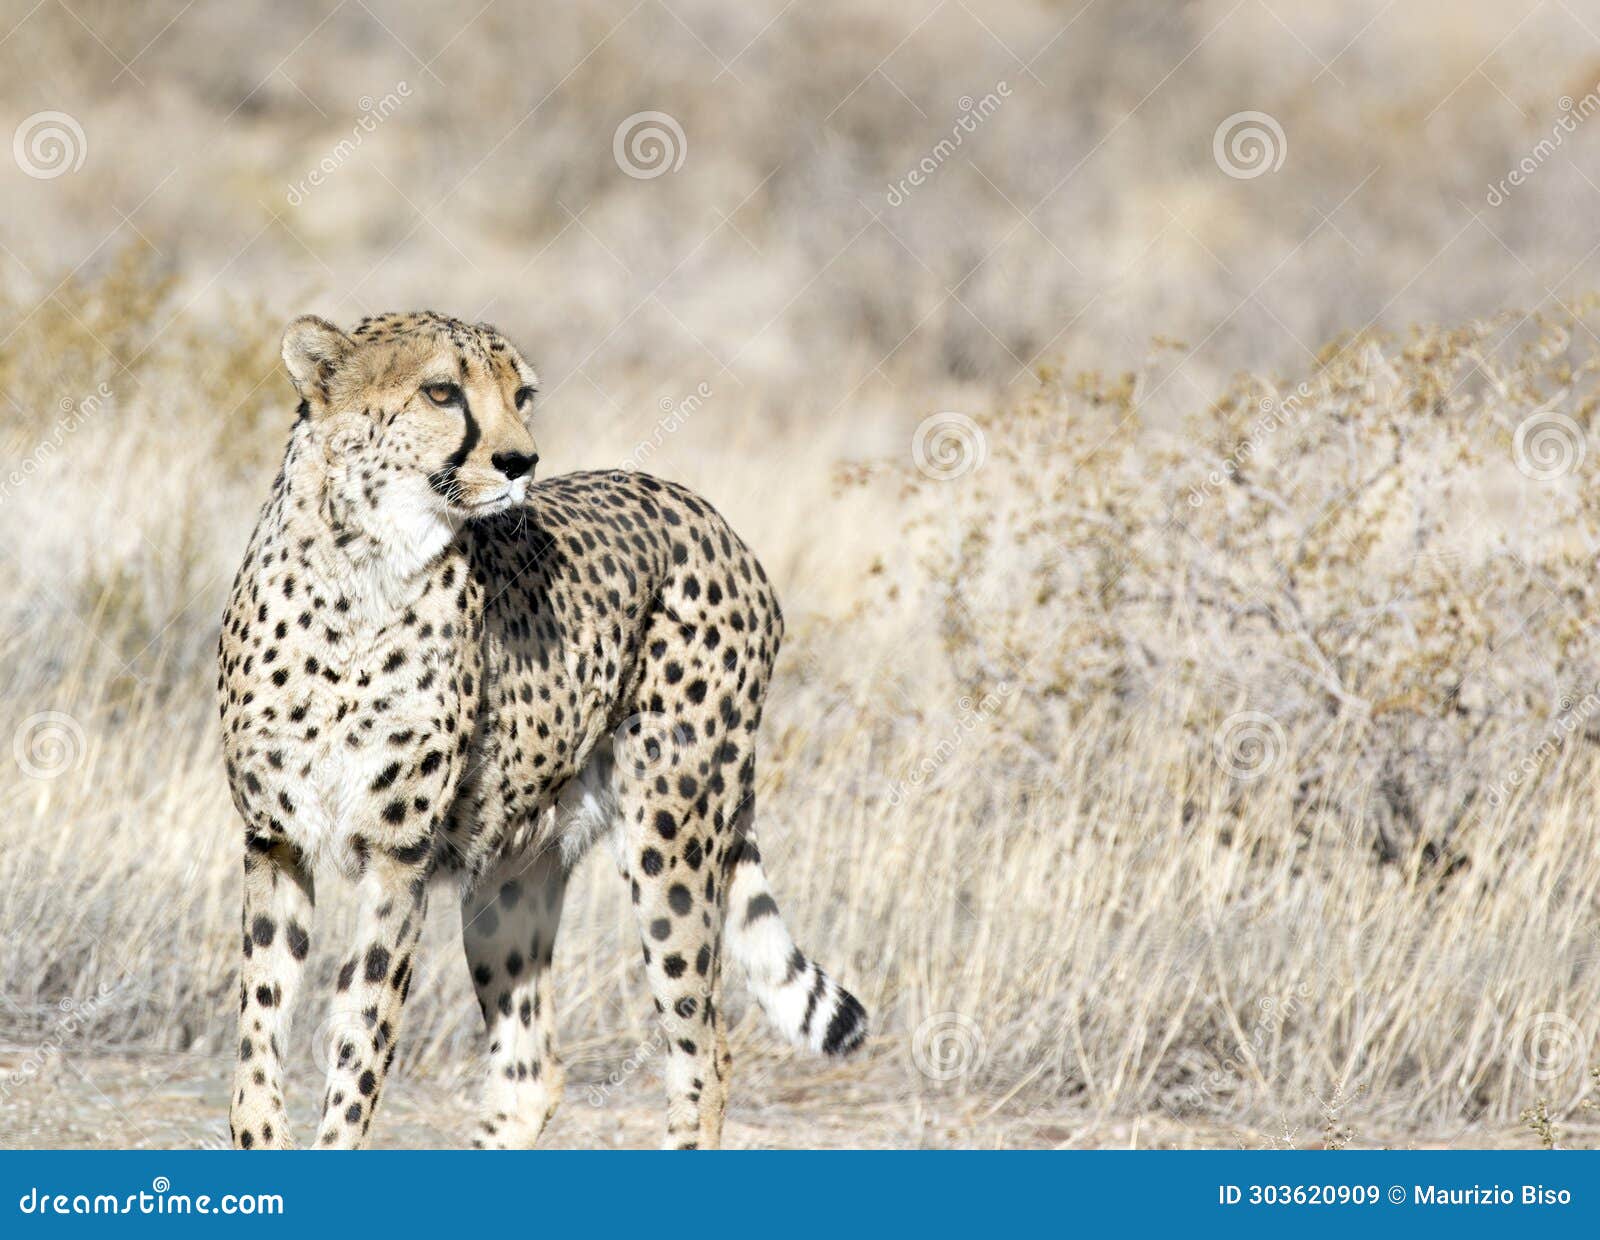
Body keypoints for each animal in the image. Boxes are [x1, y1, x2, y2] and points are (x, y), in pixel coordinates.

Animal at [217, 310, 866, 1150]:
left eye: (521, 394)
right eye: (441, 392)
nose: (521, 460)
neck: (359, 573)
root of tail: (707, 514)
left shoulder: (399, 857)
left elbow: (359, 1045)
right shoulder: (275, 841)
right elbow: (259, 1028)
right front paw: (261, 1127)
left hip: (672, 832)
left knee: (703, 1049)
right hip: (511, 872)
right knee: (532, 1068)